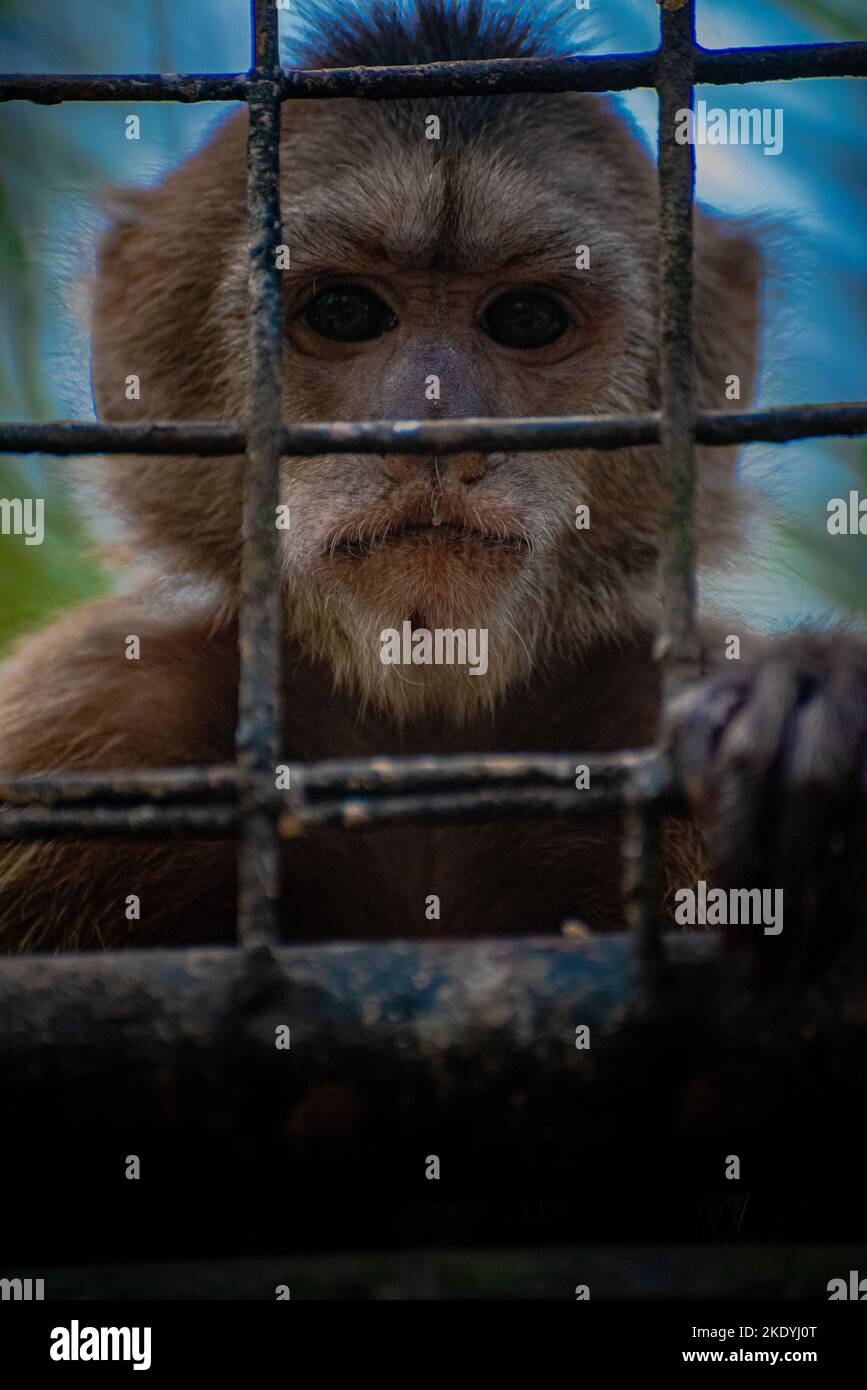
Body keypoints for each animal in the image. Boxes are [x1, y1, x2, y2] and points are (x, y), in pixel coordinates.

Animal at [1, 0, 865, 974]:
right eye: (344, 312)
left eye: (525, 318)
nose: (434, 432)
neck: (414, 744)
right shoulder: (84, 716)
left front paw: (807, 702)